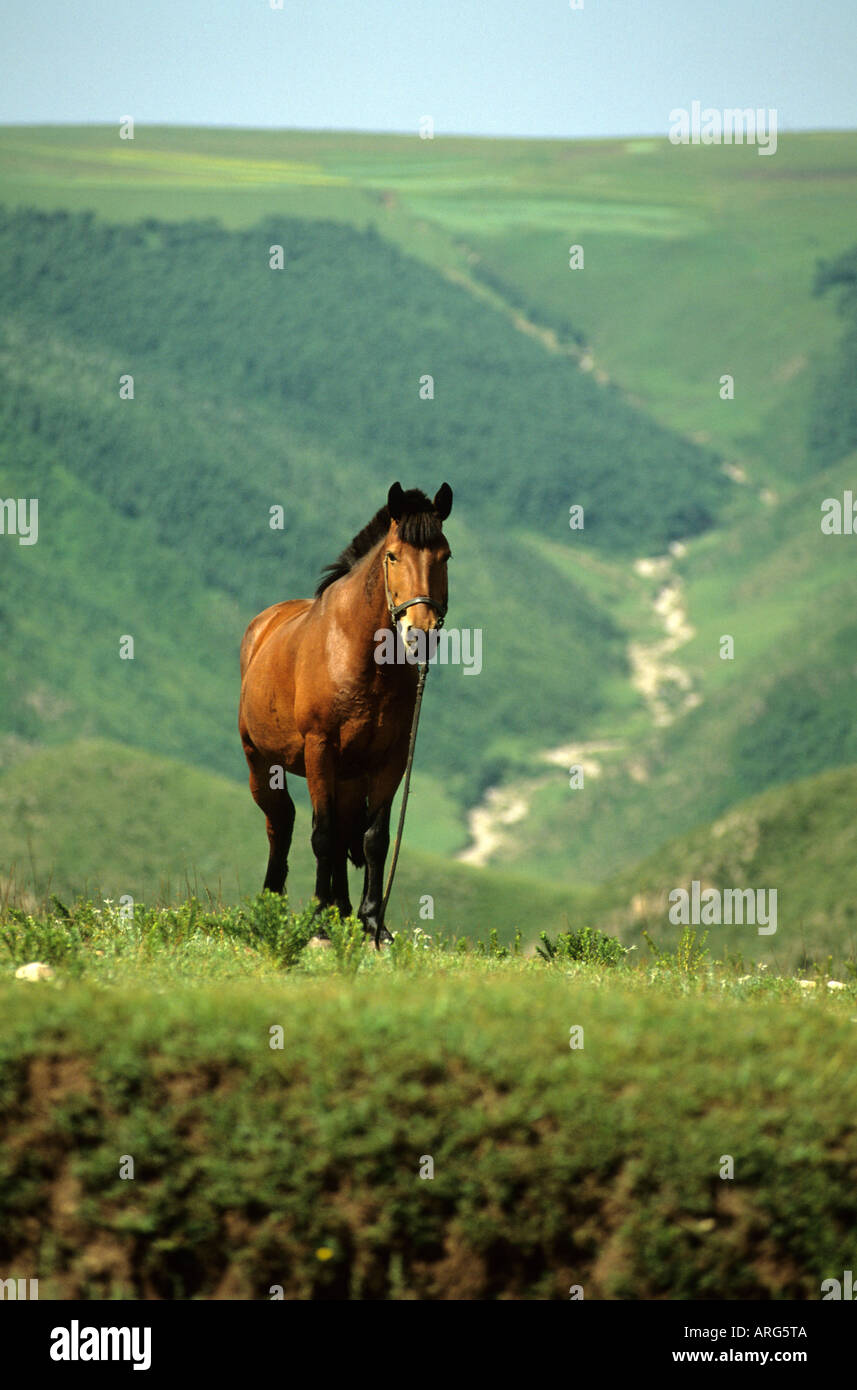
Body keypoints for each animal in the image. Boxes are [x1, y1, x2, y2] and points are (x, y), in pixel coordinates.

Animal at [238, 481, 453, 942]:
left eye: (445, 555)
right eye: (393, 556)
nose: (421, 633)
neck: (359, 655)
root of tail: (263, 625)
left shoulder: (390, 760)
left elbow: (374, 838)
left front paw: (373, 921)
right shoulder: (320, 750)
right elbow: (321, 834)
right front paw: (318, 918)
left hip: (350, 775)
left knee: (341, 833)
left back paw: (343, 909)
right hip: (262, 763)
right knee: (281, 824)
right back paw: (276, 905)